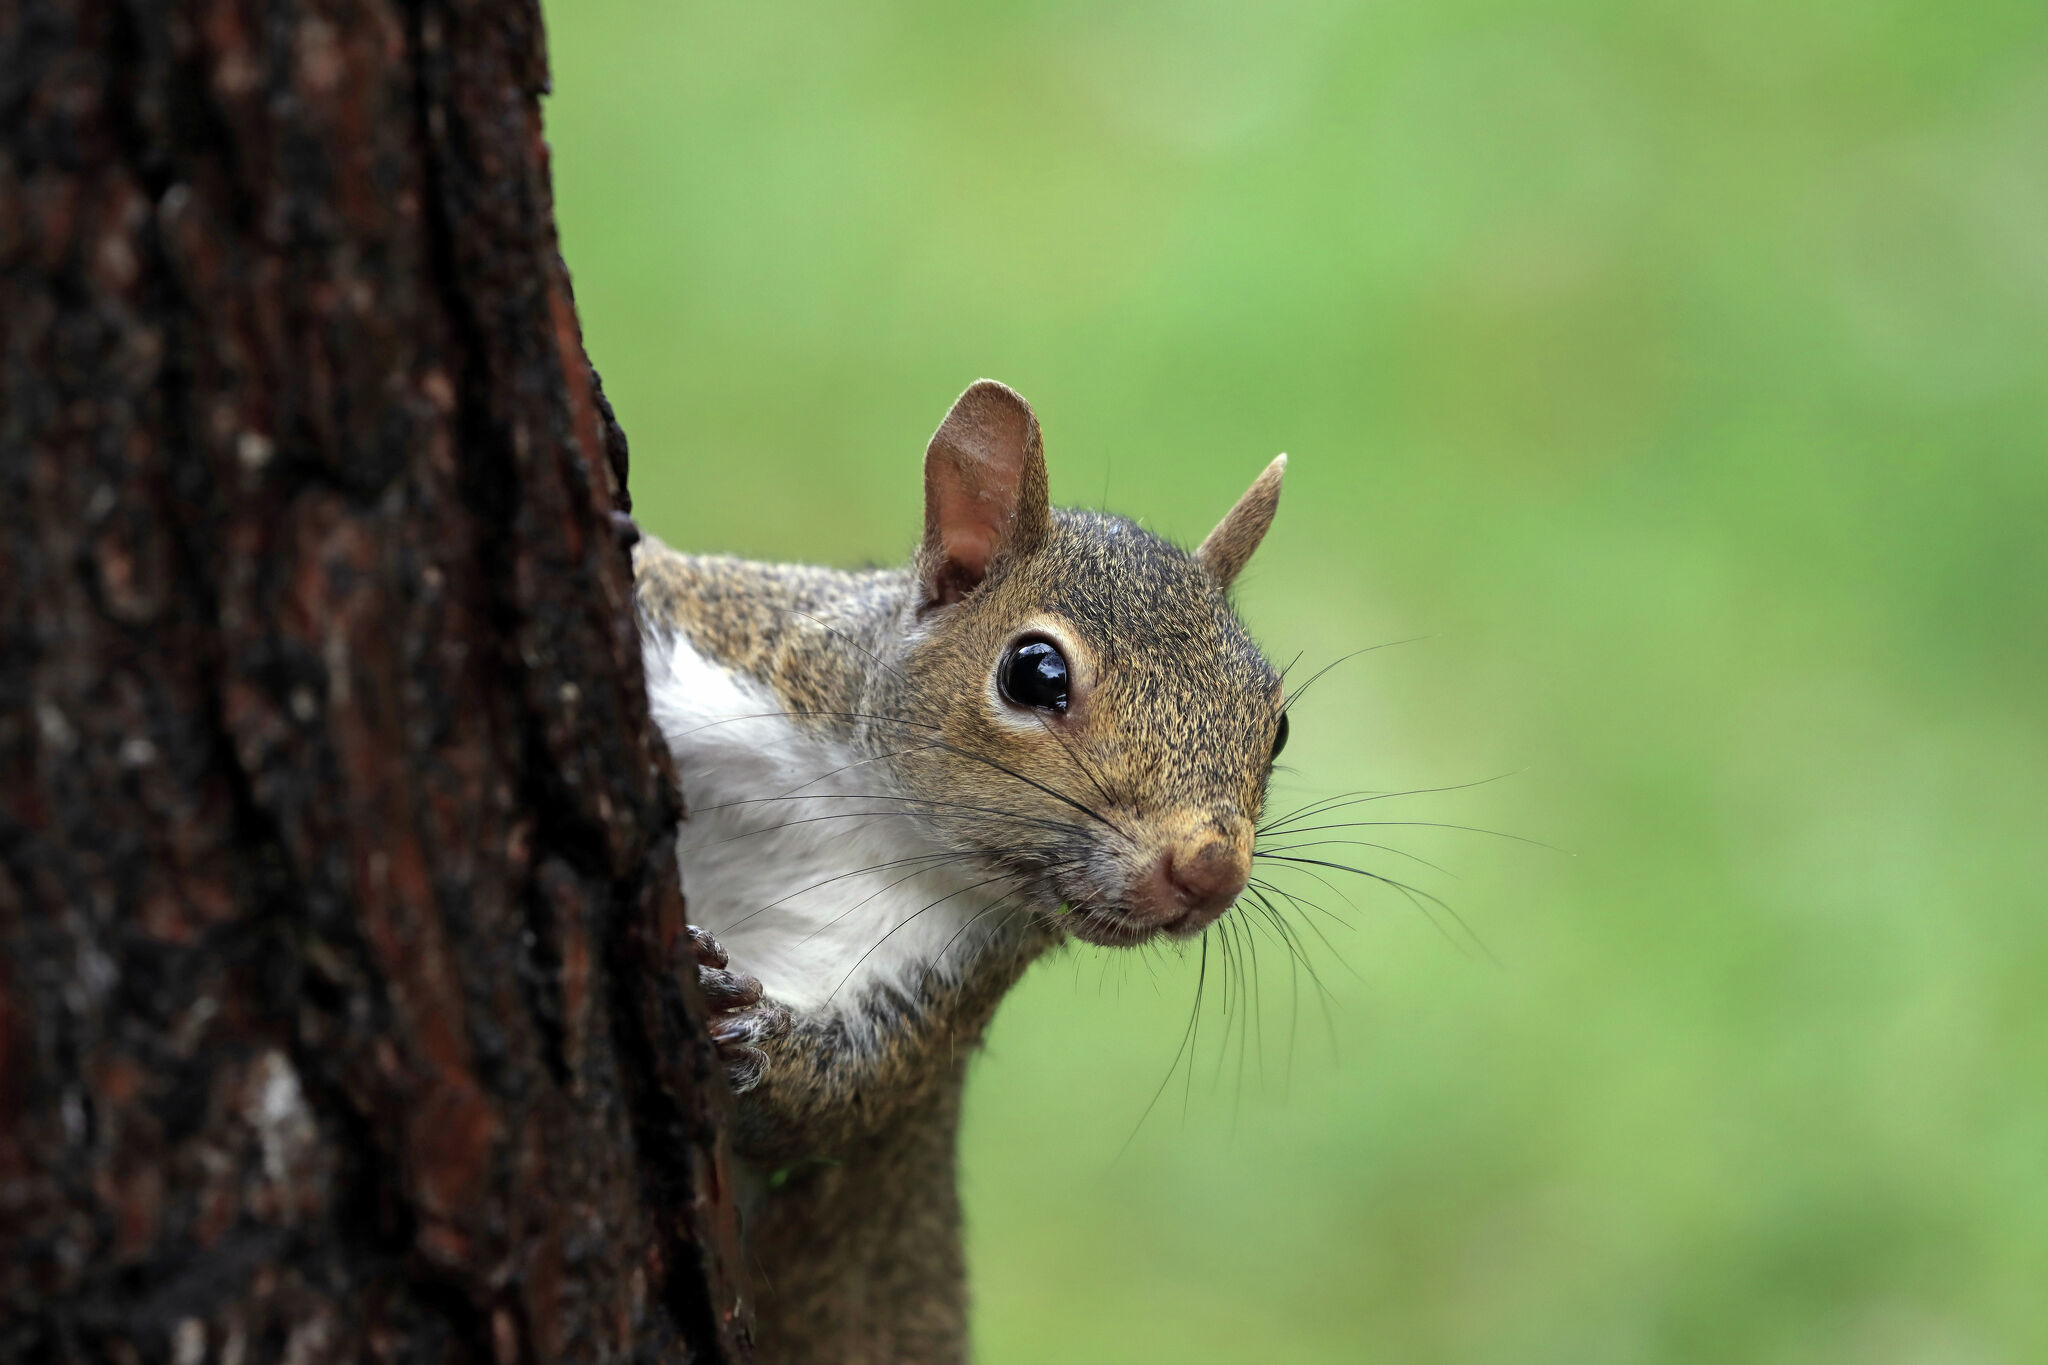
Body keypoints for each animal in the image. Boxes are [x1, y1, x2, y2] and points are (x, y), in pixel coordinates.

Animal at [632, 379, 1288, 1365]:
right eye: (1034, 671)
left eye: (1275, 723)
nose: (1210, 870)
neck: (872, 813)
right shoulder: (738, 644)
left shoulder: (949, 974)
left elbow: (828, 1100)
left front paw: (742, 1022)